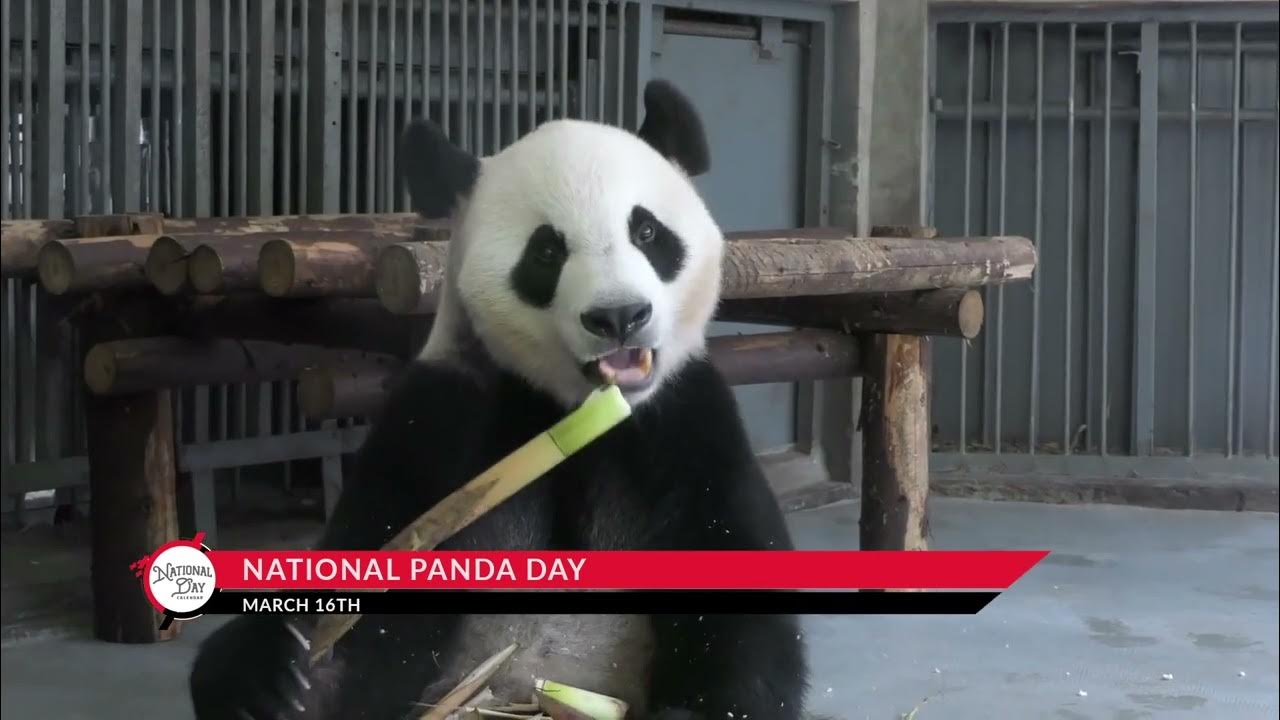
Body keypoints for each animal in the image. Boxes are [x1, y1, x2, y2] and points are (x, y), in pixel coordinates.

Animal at [188, 79, 809, 720]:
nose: (619, 317)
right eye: (547, 252)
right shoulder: (445, 414)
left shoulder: (684, 419)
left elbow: (737, 595)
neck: (575, 409)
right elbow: (368, 586)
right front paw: (274, 676)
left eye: (647, 232)